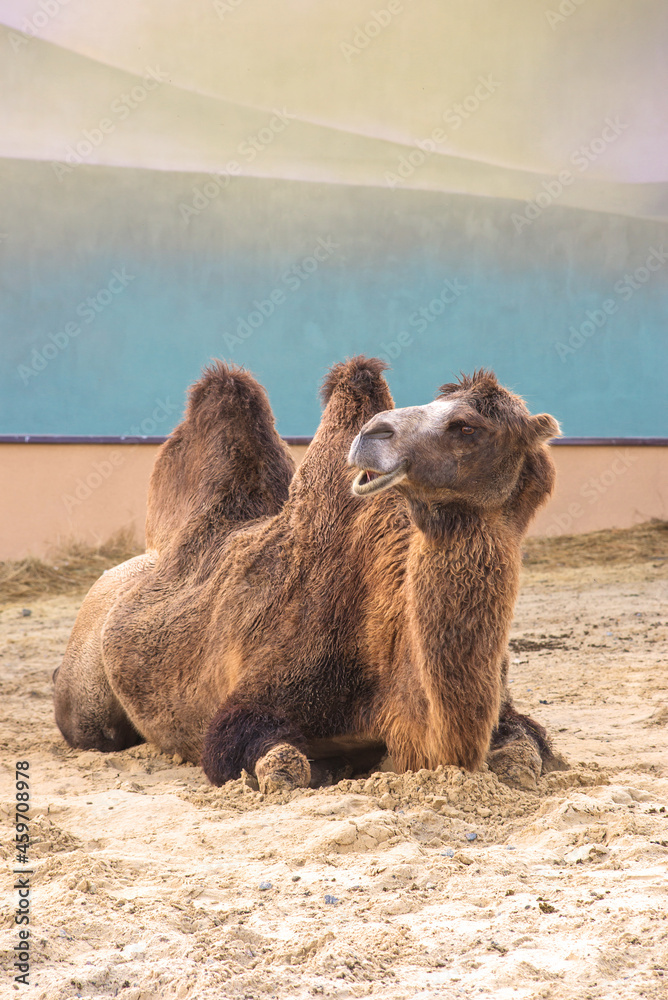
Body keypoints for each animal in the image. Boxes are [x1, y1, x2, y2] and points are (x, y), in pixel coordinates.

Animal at [54, 357, 566, 792]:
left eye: (467, 426)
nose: (371, 433)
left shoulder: (503, 712)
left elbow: (524, 757)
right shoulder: (247, 707)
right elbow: (284, 767)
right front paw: (331, 766)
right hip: (88, 698)